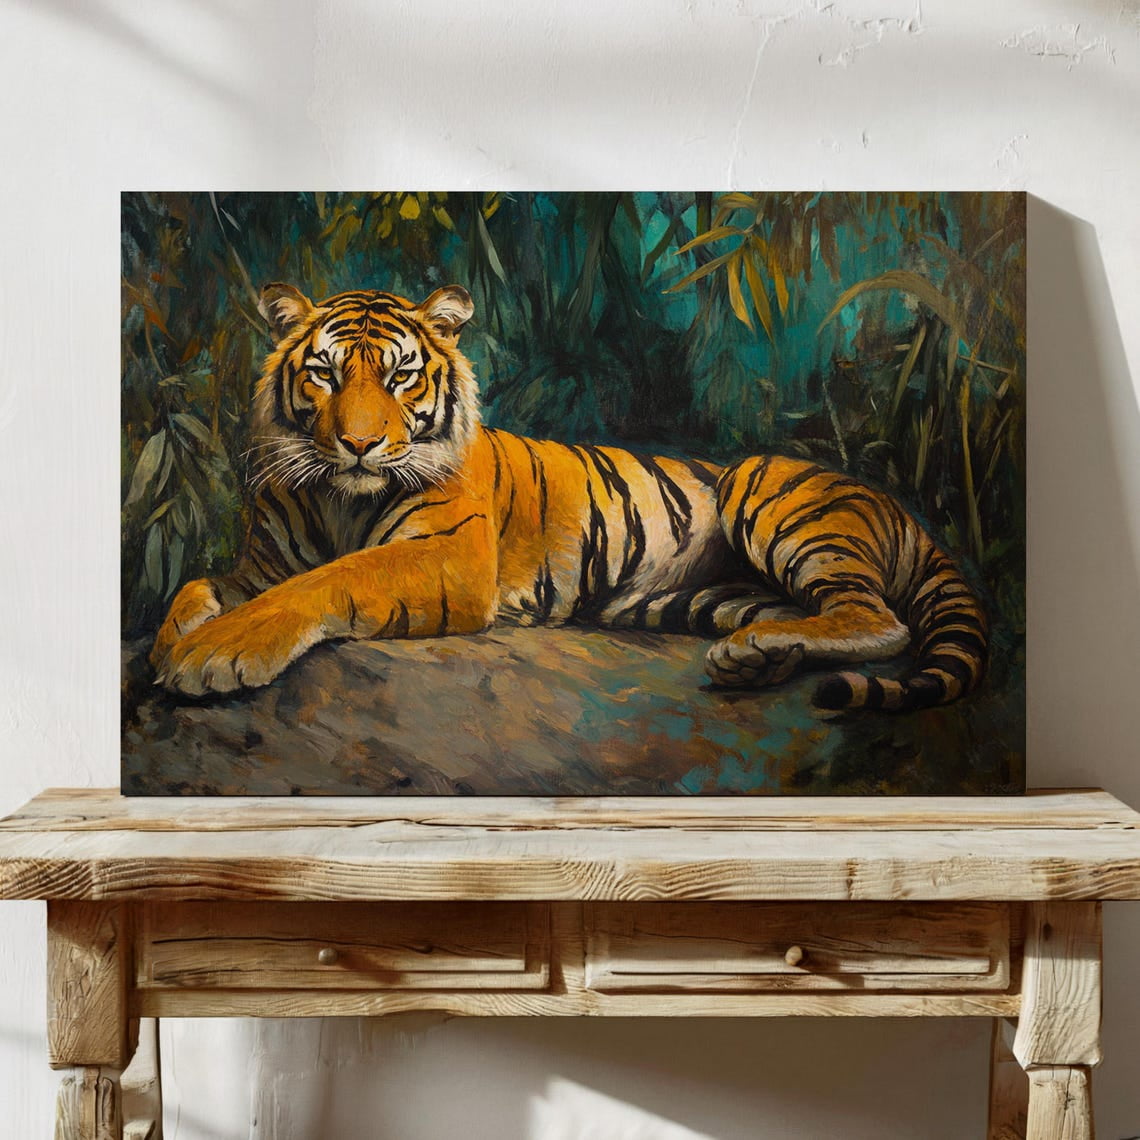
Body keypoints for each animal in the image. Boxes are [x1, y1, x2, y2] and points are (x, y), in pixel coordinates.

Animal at [149, 282, 988, 713]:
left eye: (400, 377)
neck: (338, 496)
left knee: (880, 619)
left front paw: (214, 653)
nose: (357, 444)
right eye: (324, 374)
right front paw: (173, 640)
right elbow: (197, 586)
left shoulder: (450, 554)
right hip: (706, 597)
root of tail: (904, 513)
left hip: (769, 491)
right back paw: (757, 659)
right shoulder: (257, 566)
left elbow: (328, 580)